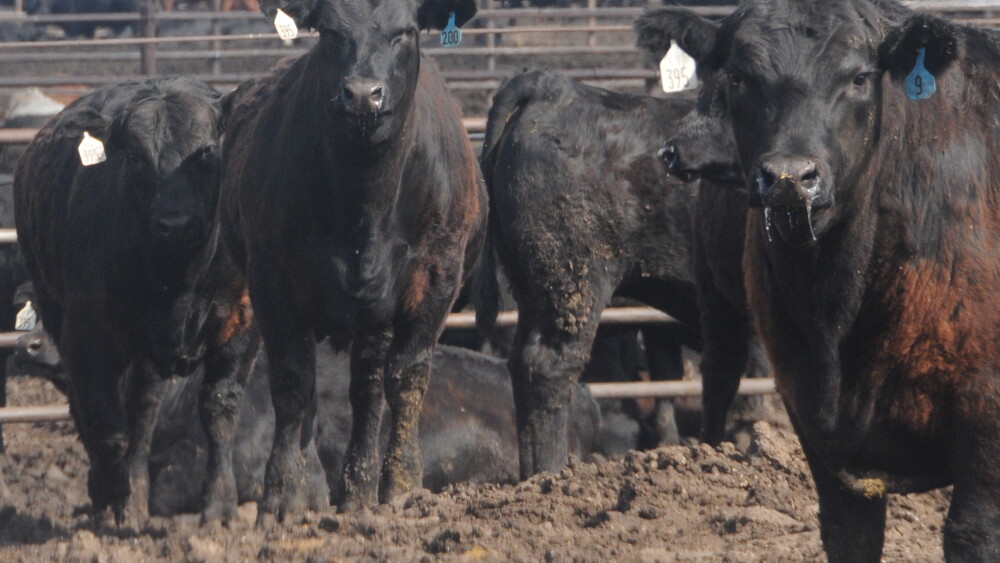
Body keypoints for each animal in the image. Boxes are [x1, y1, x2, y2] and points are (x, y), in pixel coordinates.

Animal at [13, 77, 259, 526]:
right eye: (136, 158)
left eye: (206, 151)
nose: (176, 223)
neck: (178, 278)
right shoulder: (86, 338)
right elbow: (105, 424)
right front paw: (111, 497)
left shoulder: (242, 322)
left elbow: (218, 410)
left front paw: (219, 505)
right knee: (94, 414)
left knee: (143, 412)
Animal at [221, 0, 487, 519]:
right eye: (329, 31)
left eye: (406, 31)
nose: (364, 94)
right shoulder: (272, 281)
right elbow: (292, 383)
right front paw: (282, 493)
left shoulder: (434, 279)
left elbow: (404, 379)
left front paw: (397, 484)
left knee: (367, 389)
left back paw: (358, 490)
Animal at [475, 68, 706, 479]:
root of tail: (554, 87)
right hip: (574, 280)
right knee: (548, 367)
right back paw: (551, 473)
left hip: (533, 286)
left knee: (521, 365)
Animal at [654, 1, 1000, 559]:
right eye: (739, 77)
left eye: (859, 77)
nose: (789, 178)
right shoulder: (817, 424)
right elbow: (849, 532)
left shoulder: (985, 419)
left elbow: (973, 533)